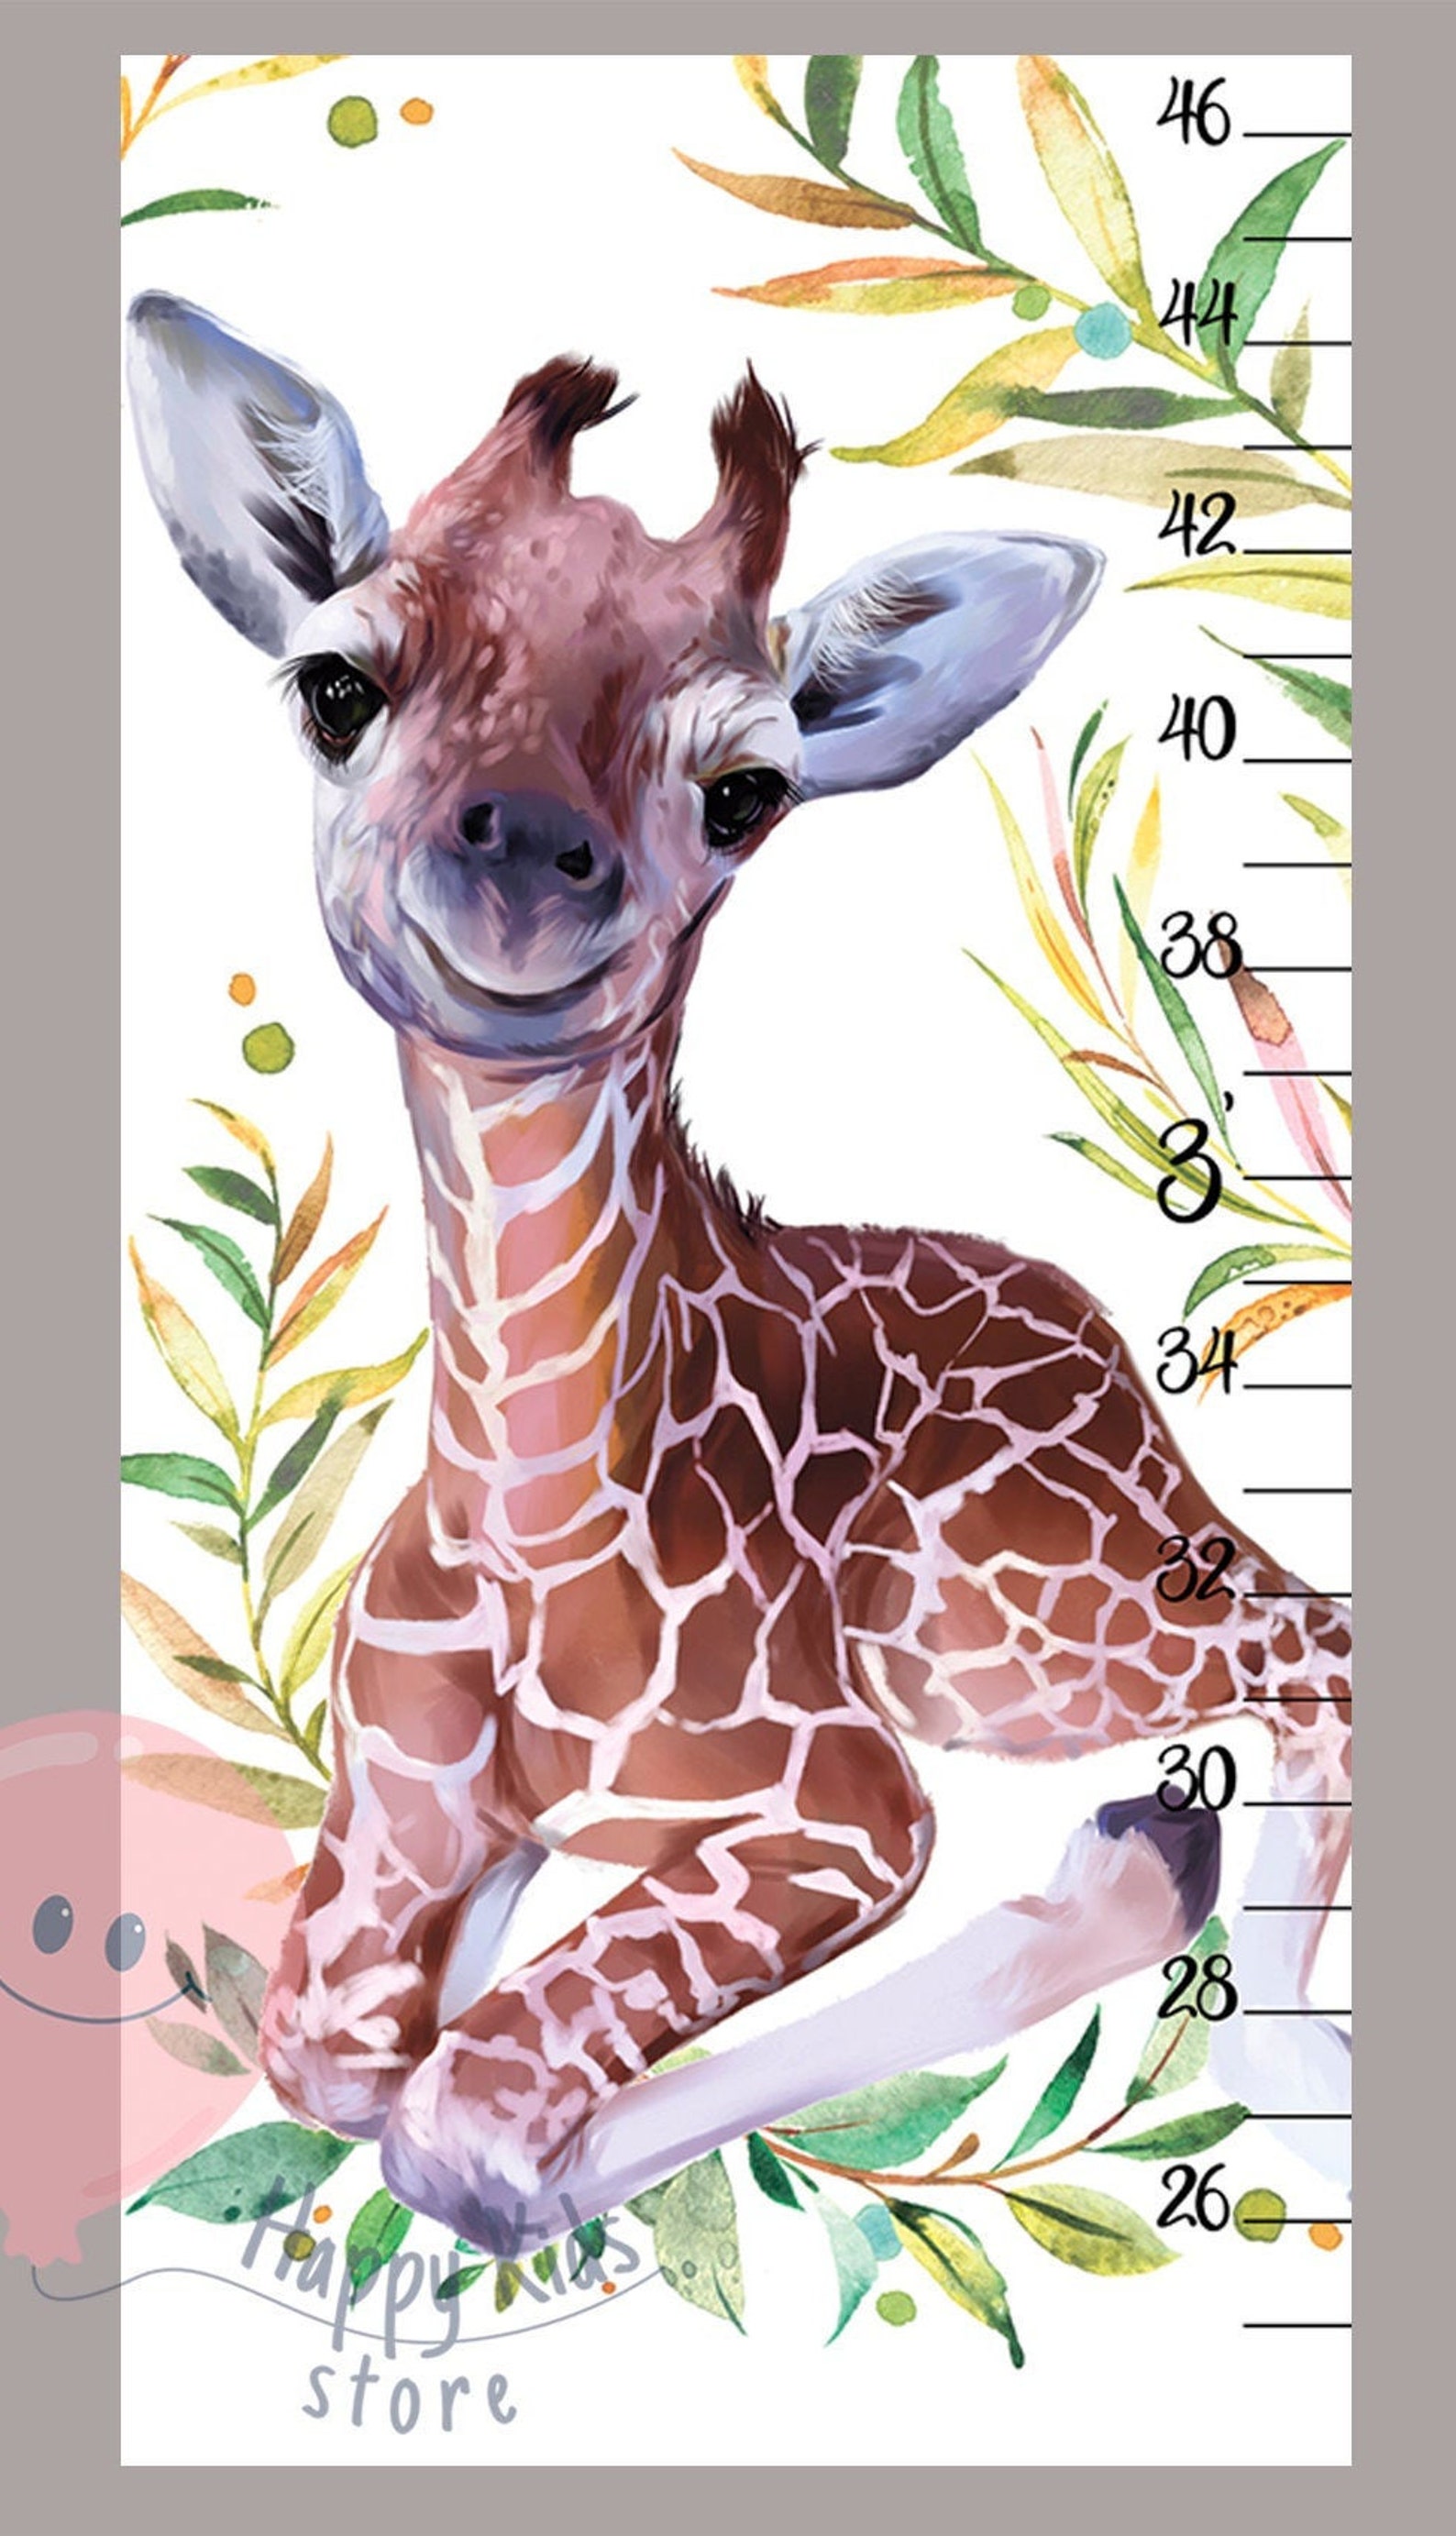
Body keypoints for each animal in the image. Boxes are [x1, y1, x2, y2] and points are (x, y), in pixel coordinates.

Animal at [127, 294, 1351, 2256]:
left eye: (746, 787)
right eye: (336, 684)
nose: (526, 855)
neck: (529, 1532)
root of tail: (1110, 1361)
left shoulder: (849, 1805)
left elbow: (462, 2124)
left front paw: (1131, 1877)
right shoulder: (404, 1803)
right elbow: (336, 2052)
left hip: (1022, 1630)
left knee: (1319, 1639)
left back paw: (1274, 2027)